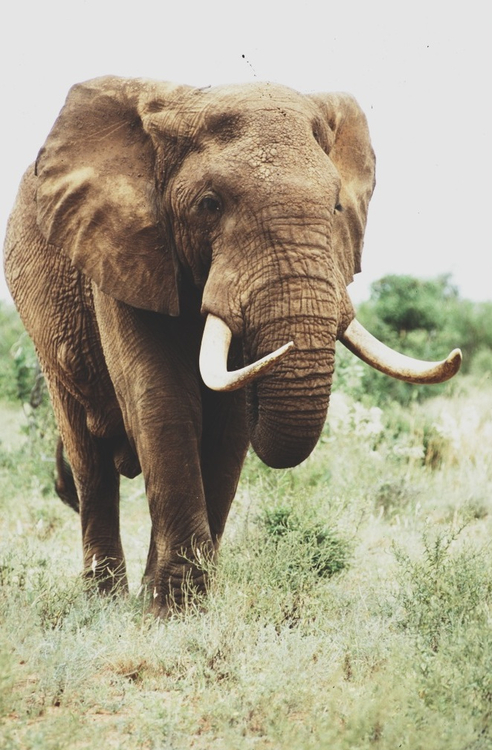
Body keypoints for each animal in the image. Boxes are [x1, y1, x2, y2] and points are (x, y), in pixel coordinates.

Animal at [3, 76, 461, 615]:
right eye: (210, 204)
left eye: (336, 206)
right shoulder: (123, 251)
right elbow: (163, 400)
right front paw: (170, 614)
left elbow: (228, 426)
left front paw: (180, 605)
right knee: (90, 462)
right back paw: (104, 603)